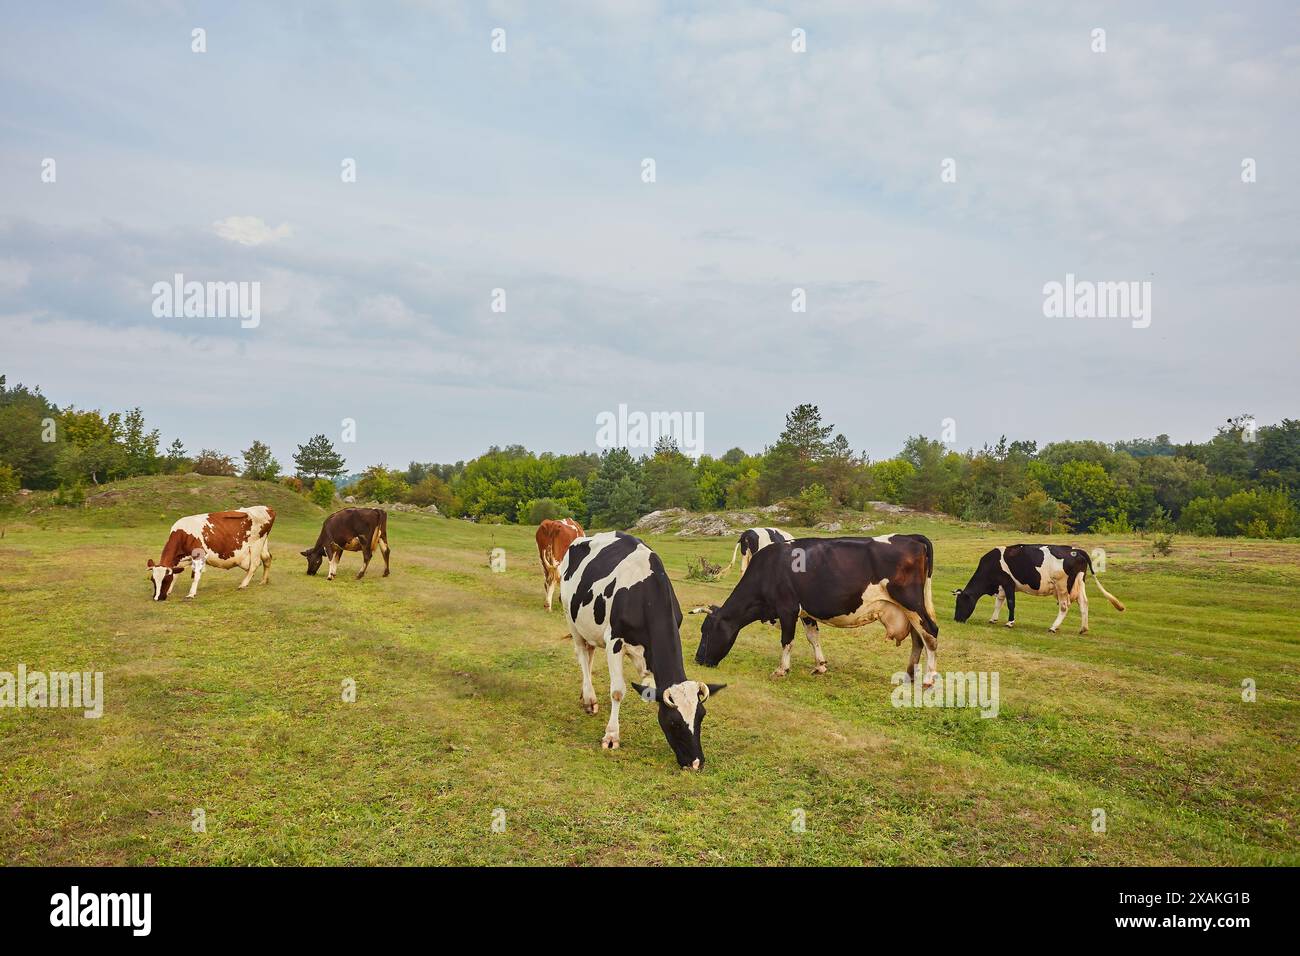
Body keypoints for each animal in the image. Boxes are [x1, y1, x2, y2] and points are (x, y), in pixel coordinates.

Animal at [147, 506, 275, 601]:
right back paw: (263, 581)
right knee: (267, 559)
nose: (157, 598)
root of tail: (267, 508)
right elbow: (176, 574)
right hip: (263, 544)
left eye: (165, 580)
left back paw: (243, 584)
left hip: (256, 545)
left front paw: (191, 594)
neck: (183, 534)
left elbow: (196, 576)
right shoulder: (180, 560)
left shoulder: (199, 556)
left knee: (254, 564)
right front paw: (169, 591)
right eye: (152, 580)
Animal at [559, 531, 726, 770]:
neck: (645, 597)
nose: (696, 763)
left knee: (589, 656)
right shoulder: (614, 641)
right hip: (570, 618)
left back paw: (586, 695)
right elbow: (617, 691)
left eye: (701, 716)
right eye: (674, 723)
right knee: (582, 654)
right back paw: (590, 699)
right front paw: (611, 736)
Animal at [694, 534, 941, 687]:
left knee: (930, 633)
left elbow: (787, 640)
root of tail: (911, 537)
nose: (697, 659)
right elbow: (813, 638)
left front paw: (781, 670)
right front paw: (820, 666)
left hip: (912, 603)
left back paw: (928, 678)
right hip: (908, 609)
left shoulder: (787, 608)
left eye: (706, 632)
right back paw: (909, 675)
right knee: (918, 639)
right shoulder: (805, 612)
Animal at [953, 545, 1124, 634]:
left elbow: (1010, 603)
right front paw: (993, 619)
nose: (956, 619)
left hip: (1062, 586)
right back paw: (1083, 628)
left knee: (1064, 606)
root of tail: (1075, 550)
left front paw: (1010, 622)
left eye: (960, 603)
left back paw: (1053, 627)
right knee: (1084, 603)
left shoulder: (1008, 583)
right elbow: (999, 602)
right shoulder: (1001, 586)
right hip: (1079, 581)